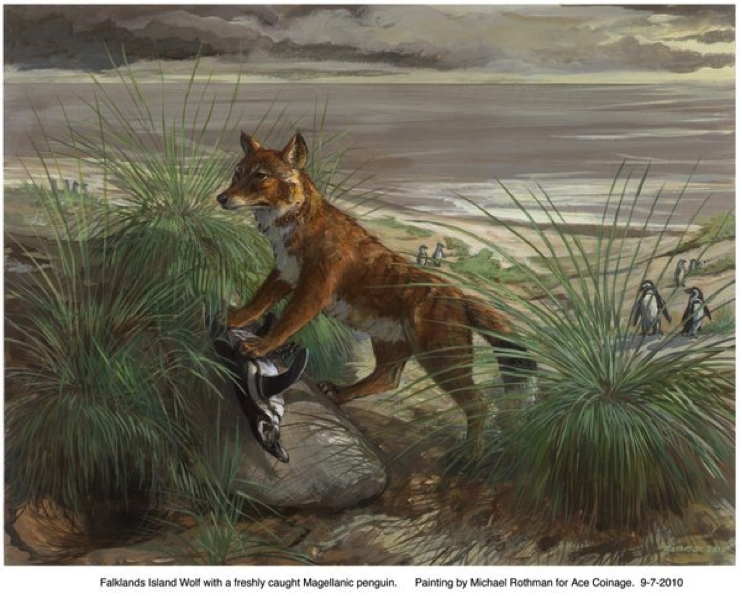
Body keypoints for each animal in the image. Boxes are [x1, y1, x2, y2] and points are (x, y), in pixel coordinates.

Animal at [217, 131, 534, 458]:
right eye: (238, 173)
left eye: (260, 176)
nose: (222, 198)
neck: (294, 227)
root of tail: (460, 296)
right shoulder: (285, 274)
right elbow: (257, 303)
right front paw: (233, 318)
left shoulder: (313, 292)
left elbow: (284, 324)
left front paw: (260, 347)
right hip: (390, 345)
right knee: (387, 380)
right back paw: (339, 394)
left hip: (440, 359)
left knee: (477, 402)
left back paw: (468, 455)